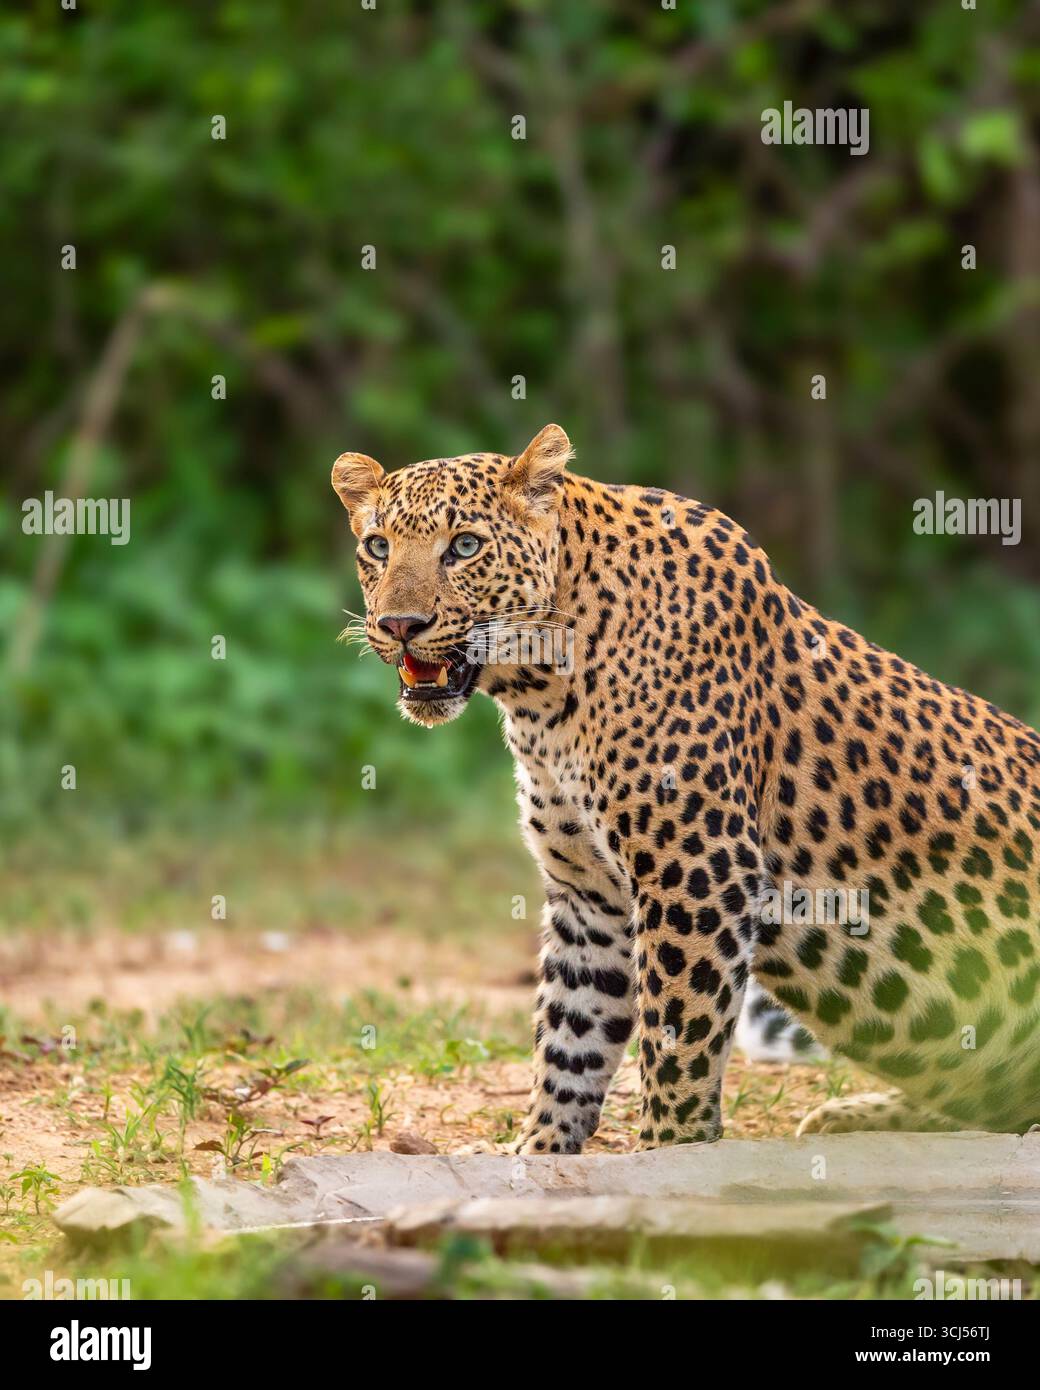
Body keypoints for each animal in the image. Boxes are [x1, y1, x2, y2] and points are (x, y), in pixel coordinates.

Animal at [332, 423, 1040, 1151]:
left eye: (465, 546)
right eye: (378, 547)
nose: (398, 625)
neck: (541, 697)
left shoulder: (699, 873)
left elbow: (678, 1041)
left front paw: (666, 1155)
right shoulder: (591, 896)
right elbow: (570, 1035)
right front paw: (539, 1151)